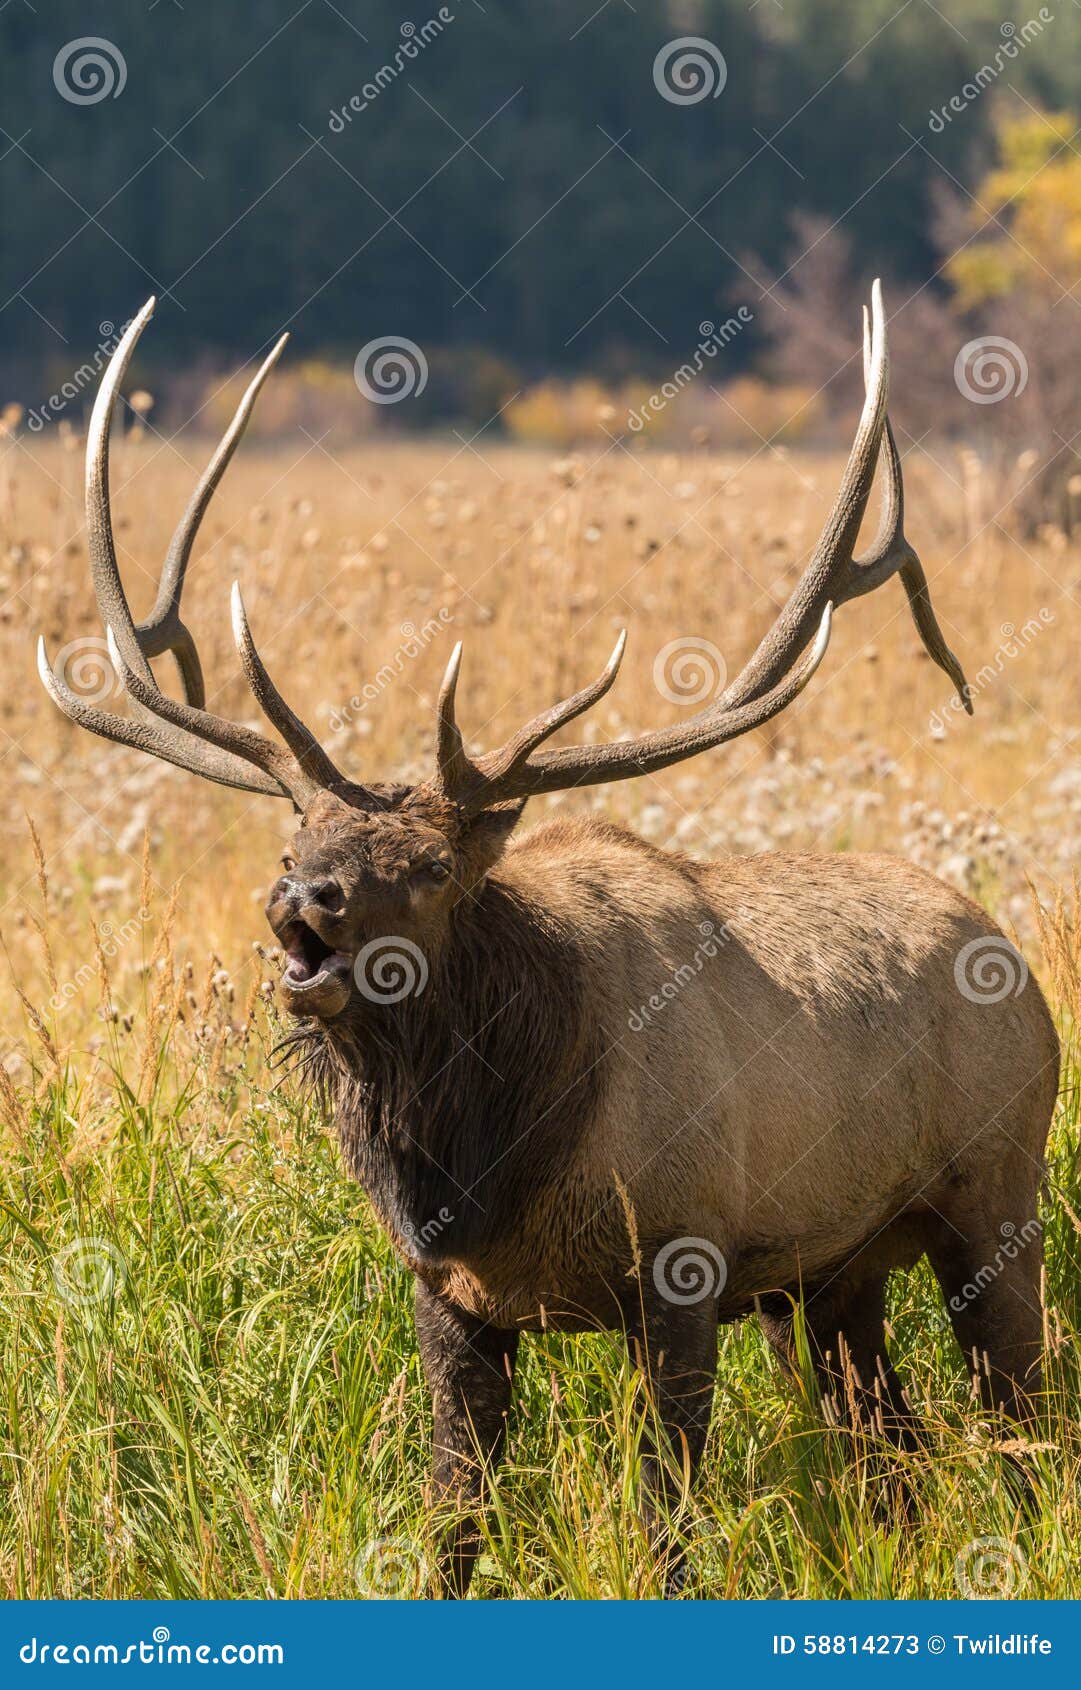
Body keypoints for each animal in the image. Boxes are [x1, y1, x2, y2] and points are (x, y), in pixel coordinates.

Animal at [39, 285, 1059, 1597]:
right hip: (836, 1272)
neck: (489, 1166)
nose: (304, 902)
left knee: (1016, 1420)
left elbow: (667, 1523)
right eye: (291, 840)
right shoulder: (448, 1292)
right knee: (891, 1450)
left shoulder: (683, 1256)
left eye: (430, 869)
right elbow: (453, 1520)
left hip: (997, 1192)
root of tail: (1011, 957)